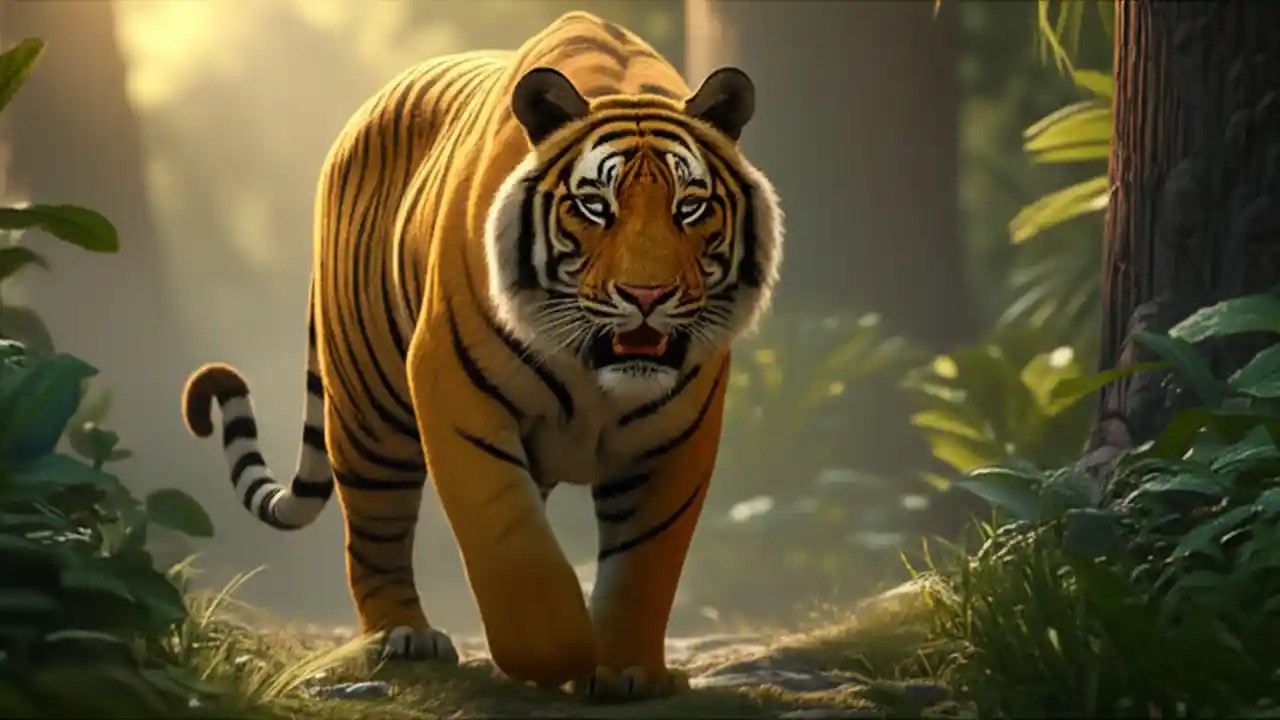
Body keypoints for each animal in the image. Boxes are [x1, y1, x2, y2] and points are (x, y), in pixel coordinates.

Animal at [181, 10, 783, 701]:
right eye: (594, 206)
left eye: (690, 206)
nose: (646, 296)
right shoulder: (455, 390)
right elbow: (509, 540)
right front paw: (555, 653)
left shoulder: (676, 438)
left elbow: (644, 564)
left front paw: (627, 670)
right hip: (370, 410)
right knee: (374, 531)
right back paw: (401, 638)